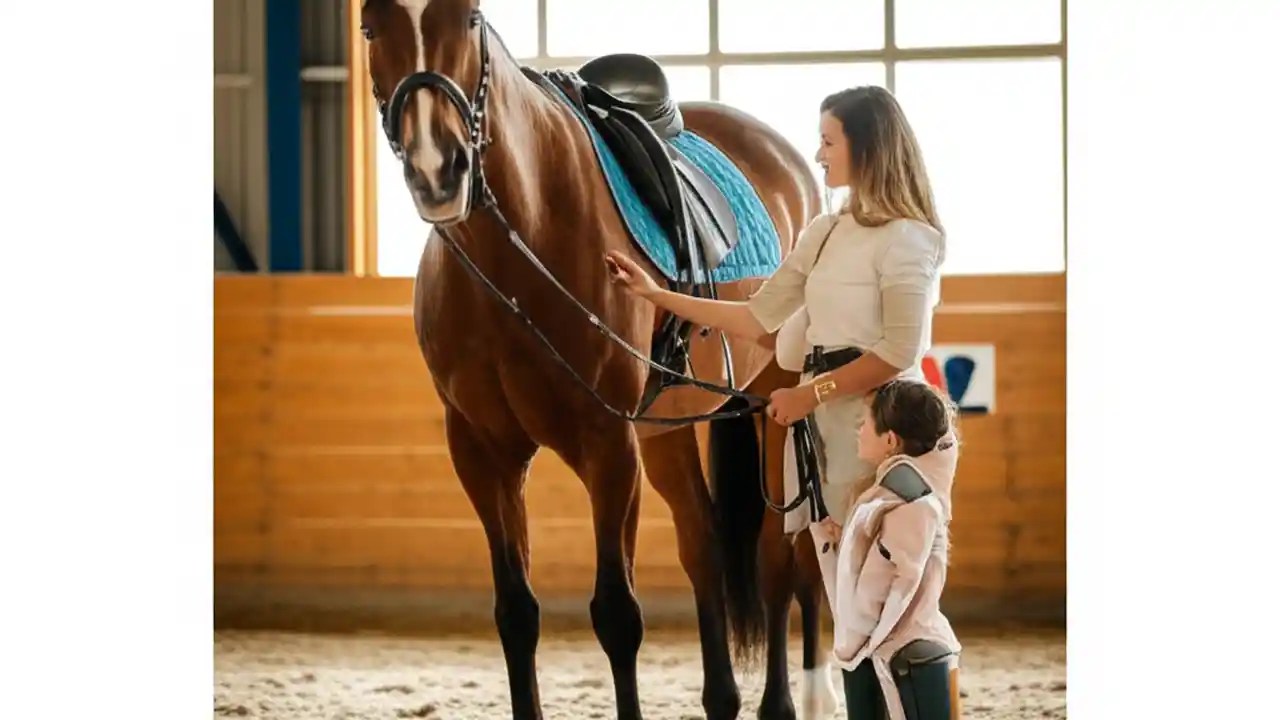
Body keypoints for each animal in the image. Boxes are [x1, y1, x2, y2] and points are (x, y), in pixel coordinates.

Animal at [359, 1, 837, 717]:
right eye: (368, 27)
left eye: (469, 18)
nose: (438, 169)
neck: (522, 242)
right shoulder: (481, 450)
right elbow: (515, 613)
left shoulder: (607, 444)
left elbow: (617, 614)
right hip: (668, 428)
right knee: (703, 544)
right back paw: (721, 698)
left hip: (776, 402)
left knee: (780, 559)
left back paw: (782, 701)